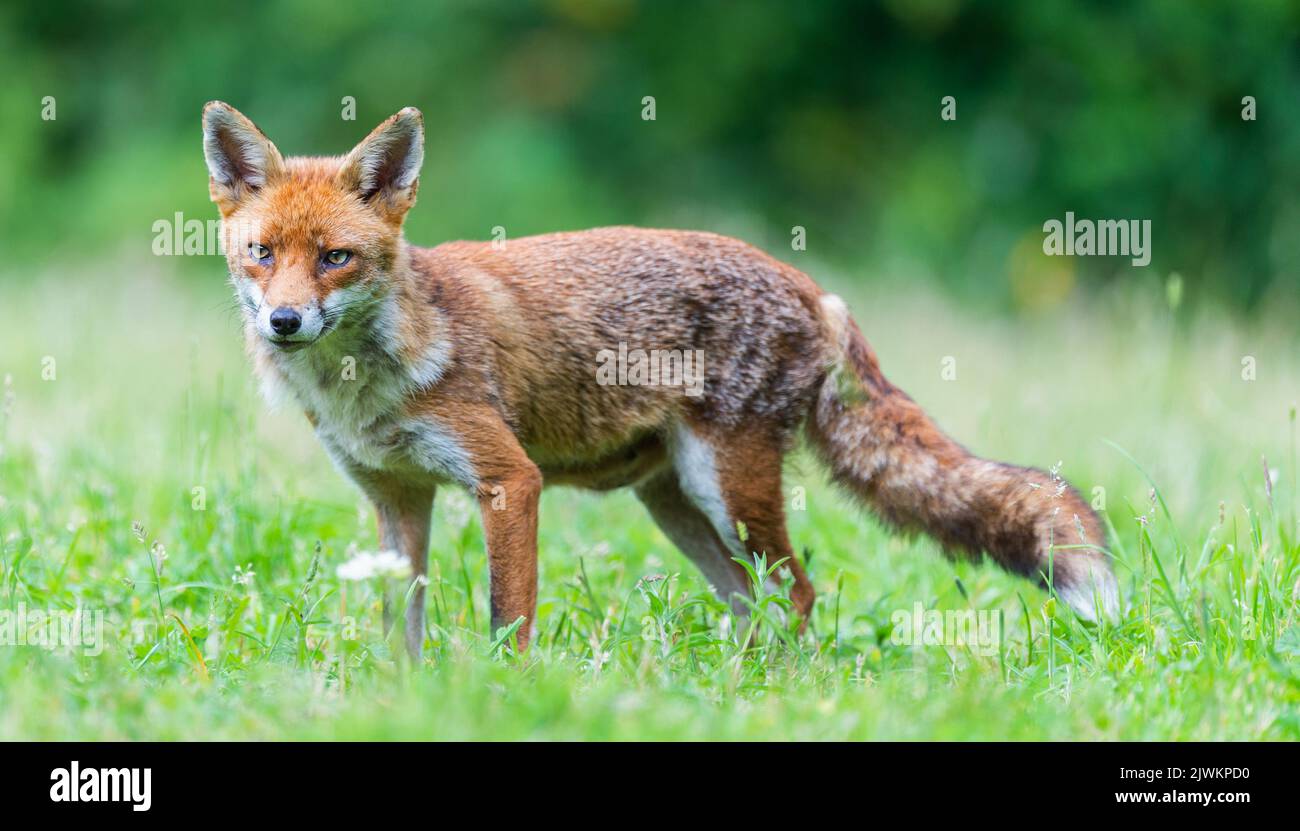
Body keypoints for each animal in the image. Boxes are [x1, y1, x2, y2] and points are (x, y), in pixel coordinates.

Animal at [202, 102, 1119, 656]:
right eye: (263, 254)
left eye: (335, 258)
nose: (284, 322)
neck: (367, 381)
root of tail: (810, 285)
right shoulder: (398, 498)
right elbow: (402, 630)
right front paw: (402, 698)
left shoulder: (509, 480)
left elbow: (508, 618)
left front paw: (502, 695)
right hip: (676, 503)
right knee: (755, 604)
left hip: (726, 487)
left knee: (798, 593)